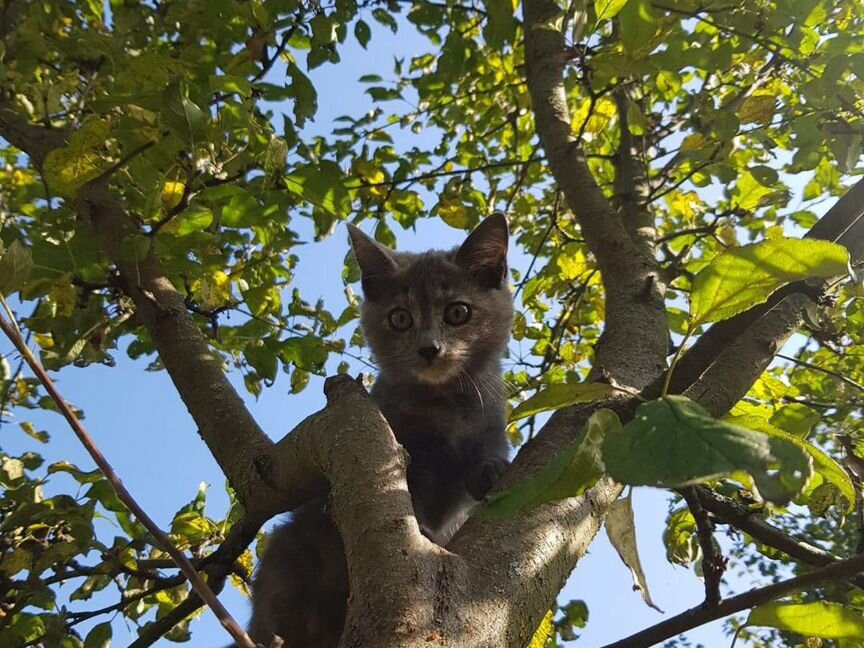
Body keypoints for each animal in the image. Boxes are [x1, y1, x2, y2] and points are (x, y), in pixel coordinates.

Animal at [243, 215, 512, 644]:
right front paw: (423, 529)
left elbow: (477, 466)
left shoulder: (488, 419)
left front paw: (493, 468)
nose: (429, 348)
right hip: (290, 556)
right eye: (400, 318)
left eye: (458, 312)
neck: (441, 403)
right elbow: (410, 494)